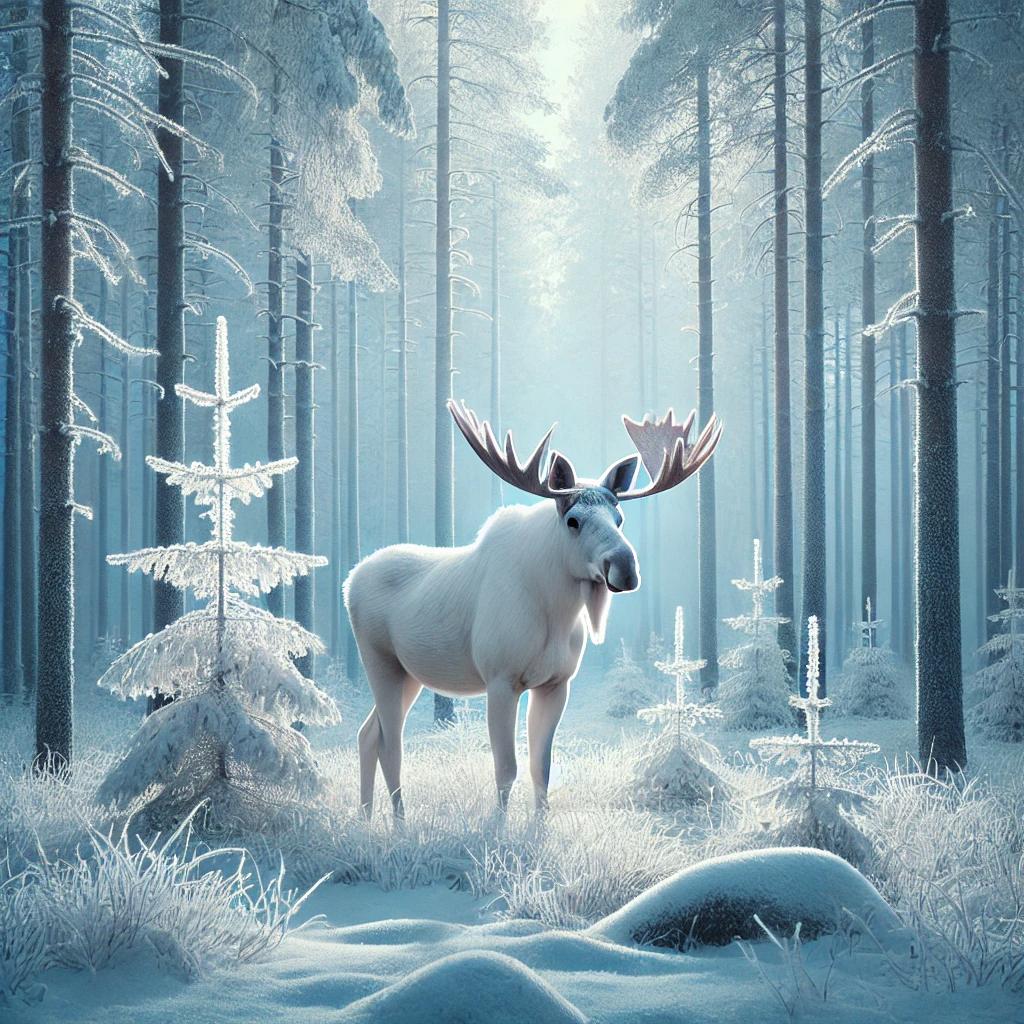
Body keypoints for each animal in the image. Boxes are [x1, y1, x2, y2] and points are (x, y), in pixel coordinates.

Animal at [343, 400, 721, 818]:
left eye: (619, 518)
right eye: (573, 521)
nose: (625, 567)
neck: (557, 614)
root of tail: (349, 581)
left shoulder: (556, 684)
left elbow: (541, 767)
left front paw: (538, 827)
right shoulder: (500, 680)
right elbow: (506, 768)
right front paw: (498, 827)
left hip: (409, 675)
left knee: (367, 734)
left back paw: (365, 816)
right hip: (380, 662)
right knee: (391, 744)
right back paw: (397, 823)